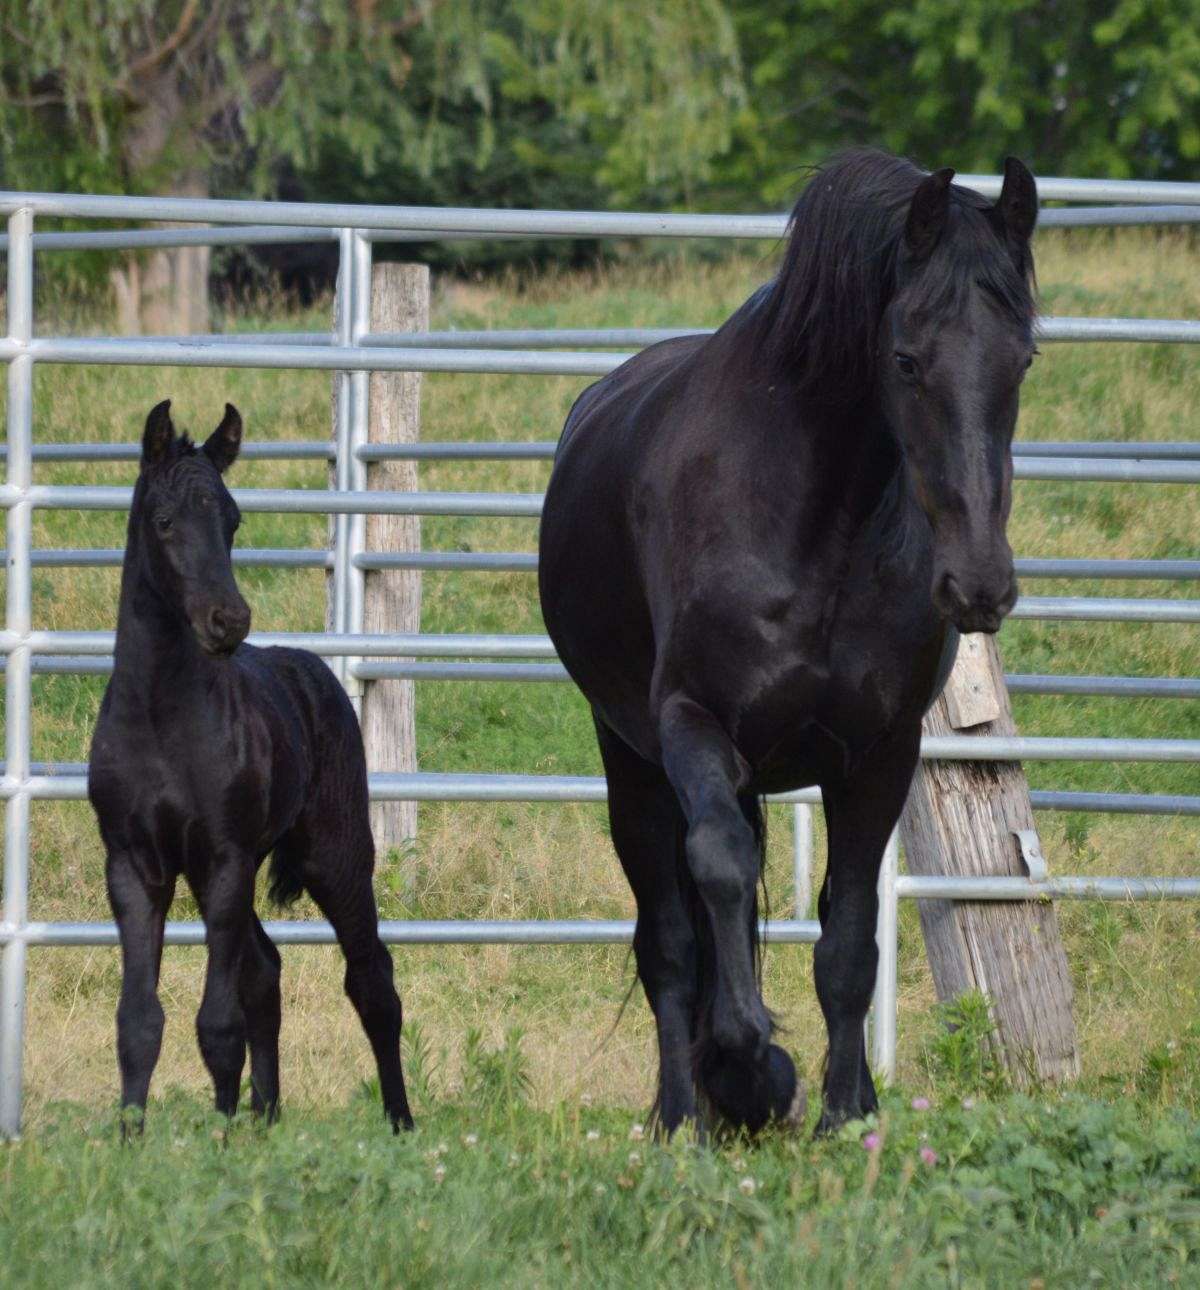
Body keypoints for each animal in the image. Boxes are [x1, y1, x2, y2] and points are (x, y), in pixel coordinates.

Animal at [88, 401, 413, 1132]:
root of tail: (317, 672)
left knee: (371, 980)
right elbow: (138, 1021)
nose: (227, 620)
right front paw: (131, 1138)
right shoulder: (134, 866)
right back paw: (267, 1120)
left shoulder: (226, 856)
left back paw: (401, 1125)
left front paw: (220, 1141)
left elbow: (217, 1023)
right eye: (164, 520)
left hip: (335, 854)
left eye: (233, 520)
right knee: (265, 969)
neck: (161, 720)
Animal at [538, 149, 1038, 1136]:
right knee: (669, 939)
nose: (980, 584)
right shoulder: (692, 726)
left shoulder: (880, 755)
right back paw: (682, 1112)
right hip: (632, 764)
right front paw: (749, 1065)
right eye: (905, 359)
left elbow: (848, 933)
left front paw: (846, 1113)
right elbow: (721, 873)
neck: (817, 528)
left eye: (1025, 359)